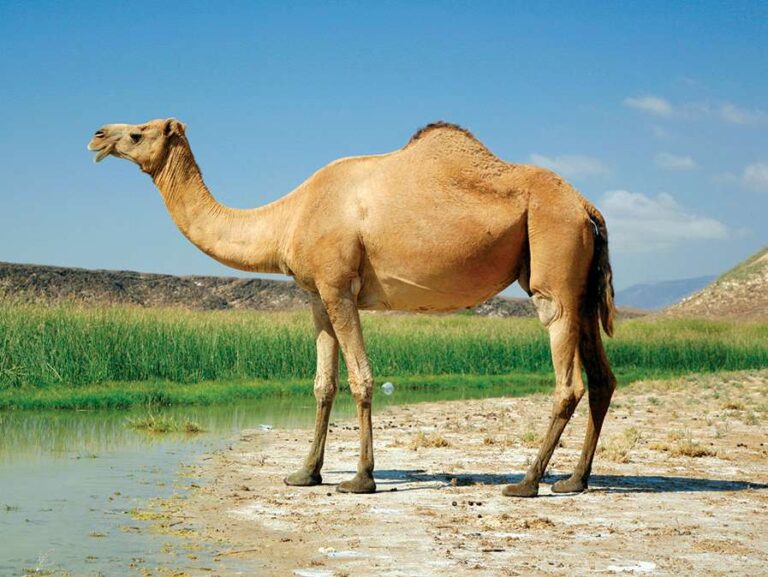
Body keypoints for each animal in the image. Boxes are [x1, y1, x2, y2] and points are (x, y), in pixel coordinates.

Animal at [88, 118, 617, 497]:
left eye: (137, 132)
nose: (97, 135)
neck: (287, 217)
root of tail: (587, 206)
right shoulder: (316, 296)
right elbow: (323, 384)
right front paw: (305, 473)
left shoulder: (339, 287)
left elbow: (362, 379)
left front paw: (361, 478)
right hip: (582, 284)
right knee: (602, 378)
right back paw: (574, 480)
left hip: (554, 261)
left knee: (567, 378)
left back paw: (527, 483)